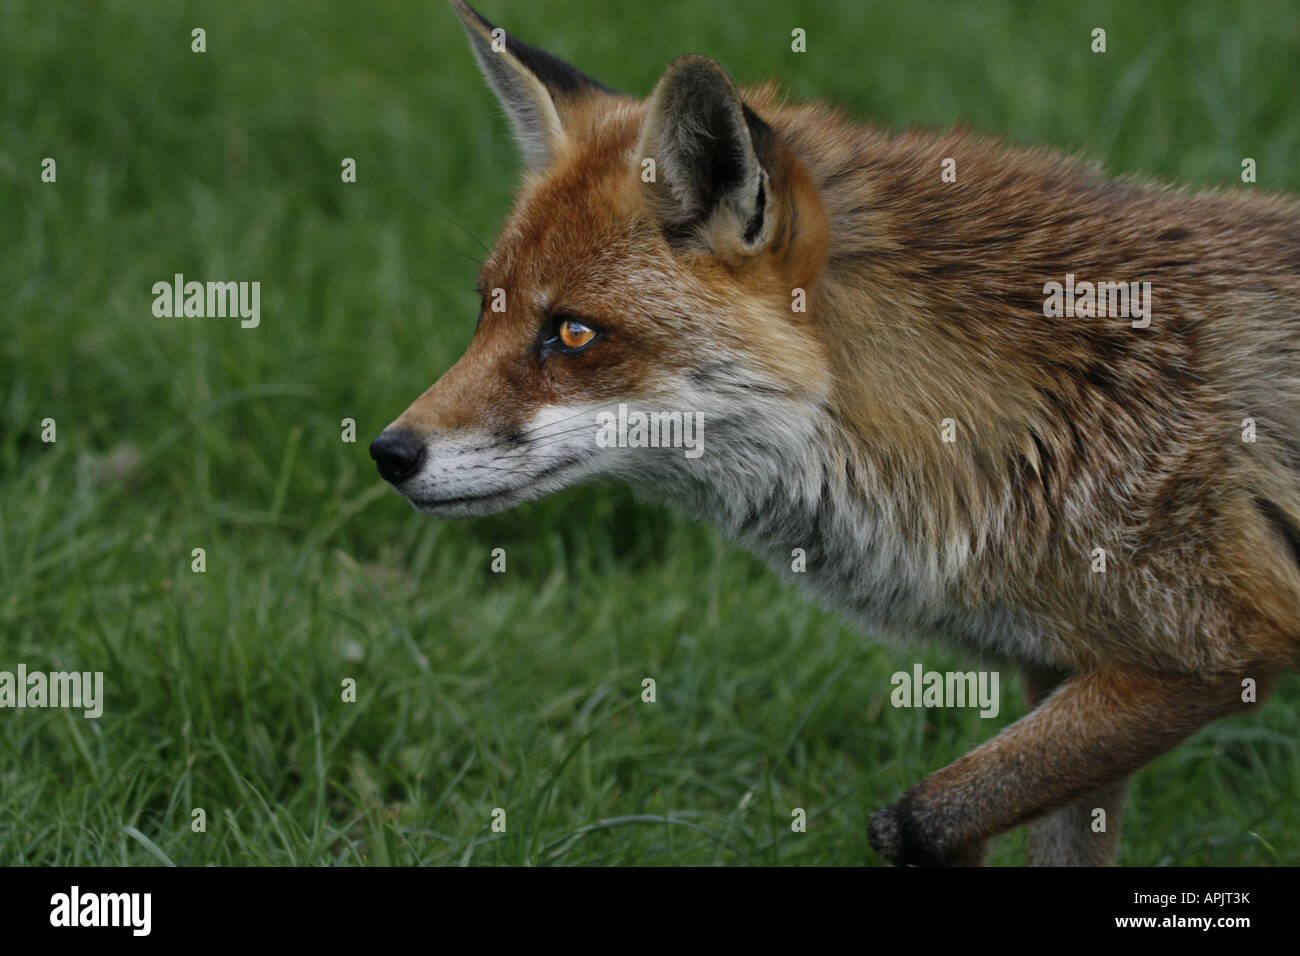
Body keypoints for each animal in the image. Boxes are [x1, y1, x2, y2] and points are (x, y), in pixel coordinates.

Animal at [371, 0, 1300, 865]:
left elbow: (917, 820)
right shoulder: (1069, 665)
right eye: (484, 314)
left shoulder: (1212, 647)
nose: (388, 453)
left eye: (570, 333)